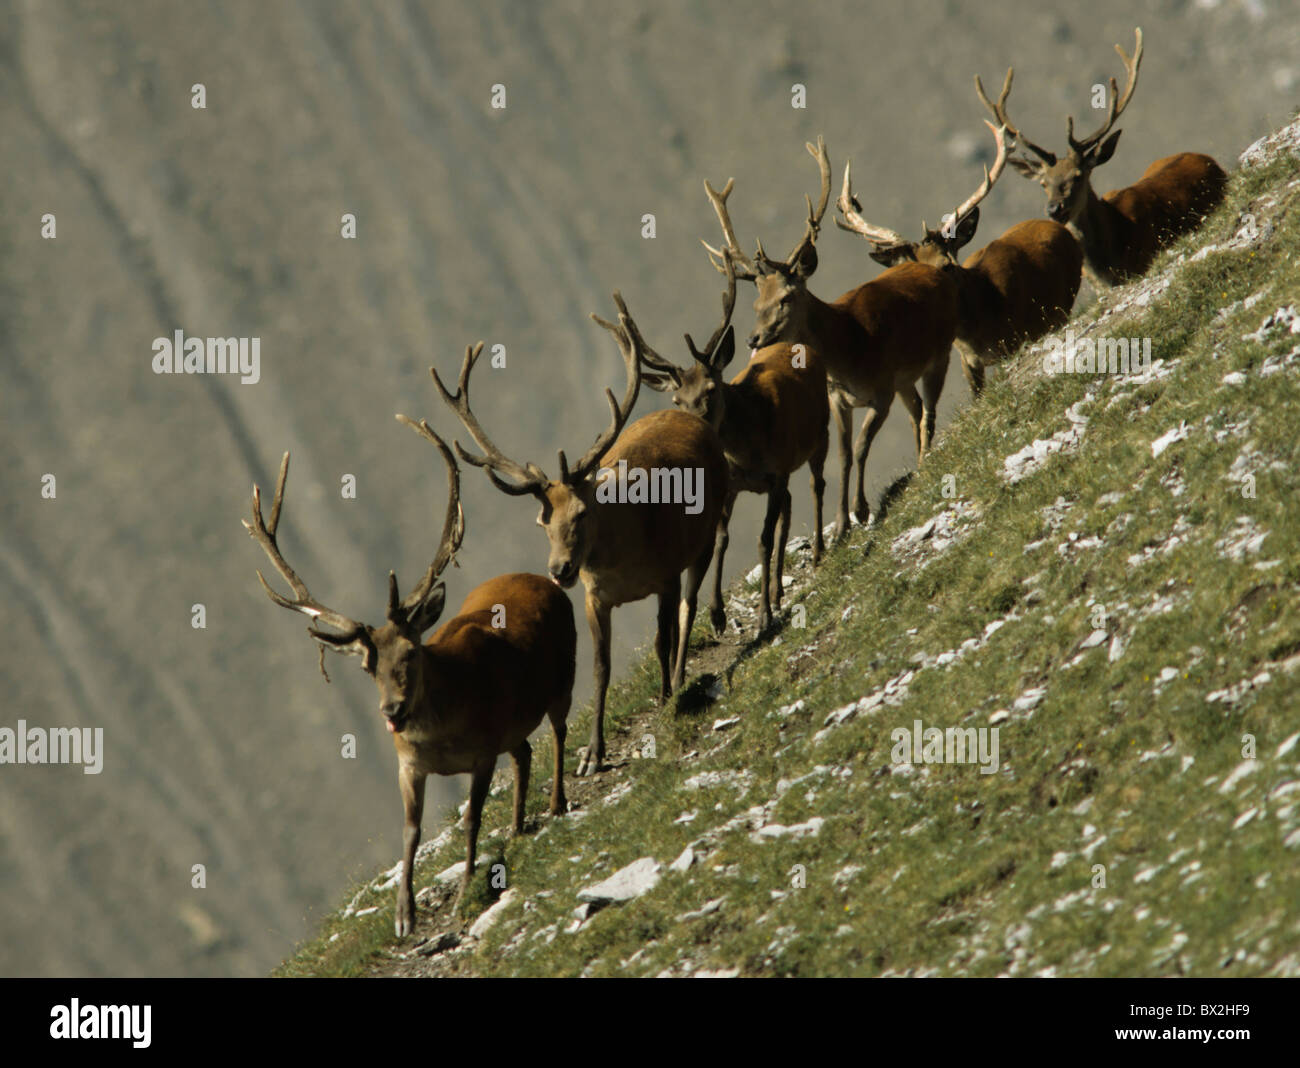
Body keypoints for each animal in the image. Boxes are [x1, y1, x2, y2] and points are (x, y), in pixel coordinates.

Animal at [243, 423, 576, 937]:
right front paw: (403, 915)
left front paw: (464, 894)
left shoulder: (483, 751)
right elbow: (410, 831)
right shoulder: (408, 765)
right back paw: (518, 826)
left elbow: (472, 819)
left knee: (558, 731)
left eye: (411, 652)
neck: (442, 735)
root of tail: (542, 579)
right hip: (515, 725)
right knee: (524, 751)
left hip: (564, 675)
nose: (392, 709)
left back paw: (558, 802)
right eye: (367, 667)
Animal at [432, 302, 729, 776]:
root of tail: (689, 417)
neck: (624, 559)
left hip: (702, 535)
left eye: (582, 512)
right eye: (541, 522)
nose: (560, 569)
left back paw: (681, 673)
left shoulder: (664, 574)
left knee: (690, 604)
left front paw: (667, 699)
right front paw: (592, 753)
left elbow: (663, 636)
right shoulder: (594, 597)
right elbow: (600, 668)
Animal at [634, 249, 829, 635]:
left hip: (820, 434)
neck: (745, 452)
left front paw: (764, 616)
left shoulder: (777, 471)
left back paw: (818, 551)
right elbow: (723, 540)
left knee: (817, 485)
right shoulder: (730, 486)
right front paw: (717, 614)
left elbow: (763, 539)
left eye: (710, 389)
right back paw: (779, 589)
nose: (692, 426)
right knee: (789, 506)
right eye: (676, 400)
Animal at [703, 137, 958, 539]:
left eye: (786, 297)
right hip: (906, 379)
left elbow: (862, 446)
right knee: (918, 410)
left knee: (929, 411)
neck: (850, 351)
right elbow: (844, 454)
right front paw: (840, 525)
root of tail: (933, 268)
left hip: (940, 354)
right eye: (756, 303)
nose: (752, 340)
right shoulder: (838, 399)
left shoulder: (881, 391)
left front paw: (862, 510)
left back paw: (925, 463)